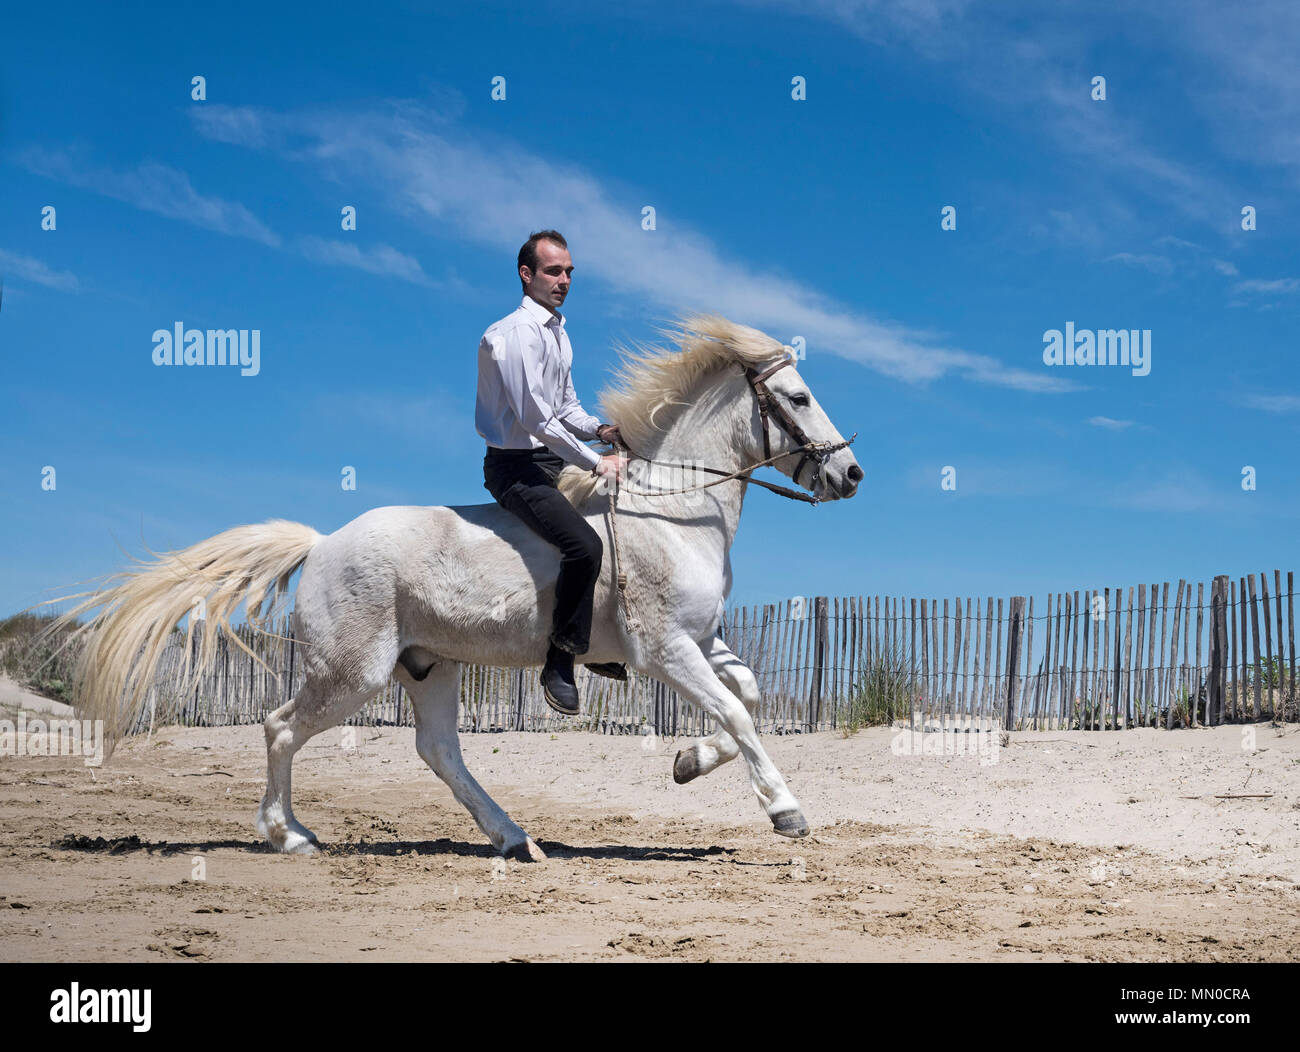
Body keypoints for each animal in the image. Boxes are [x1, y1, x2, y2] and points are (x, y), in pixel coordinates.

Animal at [38, 314, 862, 861]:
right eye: (797, 397)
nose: (851, 473)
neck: (671, 509)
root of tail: (322, 542)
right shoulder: (664, 651)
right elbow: (740, 711)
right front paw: (785, 810)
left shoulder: (701, 641)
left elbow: (747, 694)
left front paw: (689, 762)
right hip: (353, 672)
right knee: (279, 727)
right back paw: (290, 835)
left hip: (429, 665)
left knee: (437, 750)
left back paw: (513, 837)